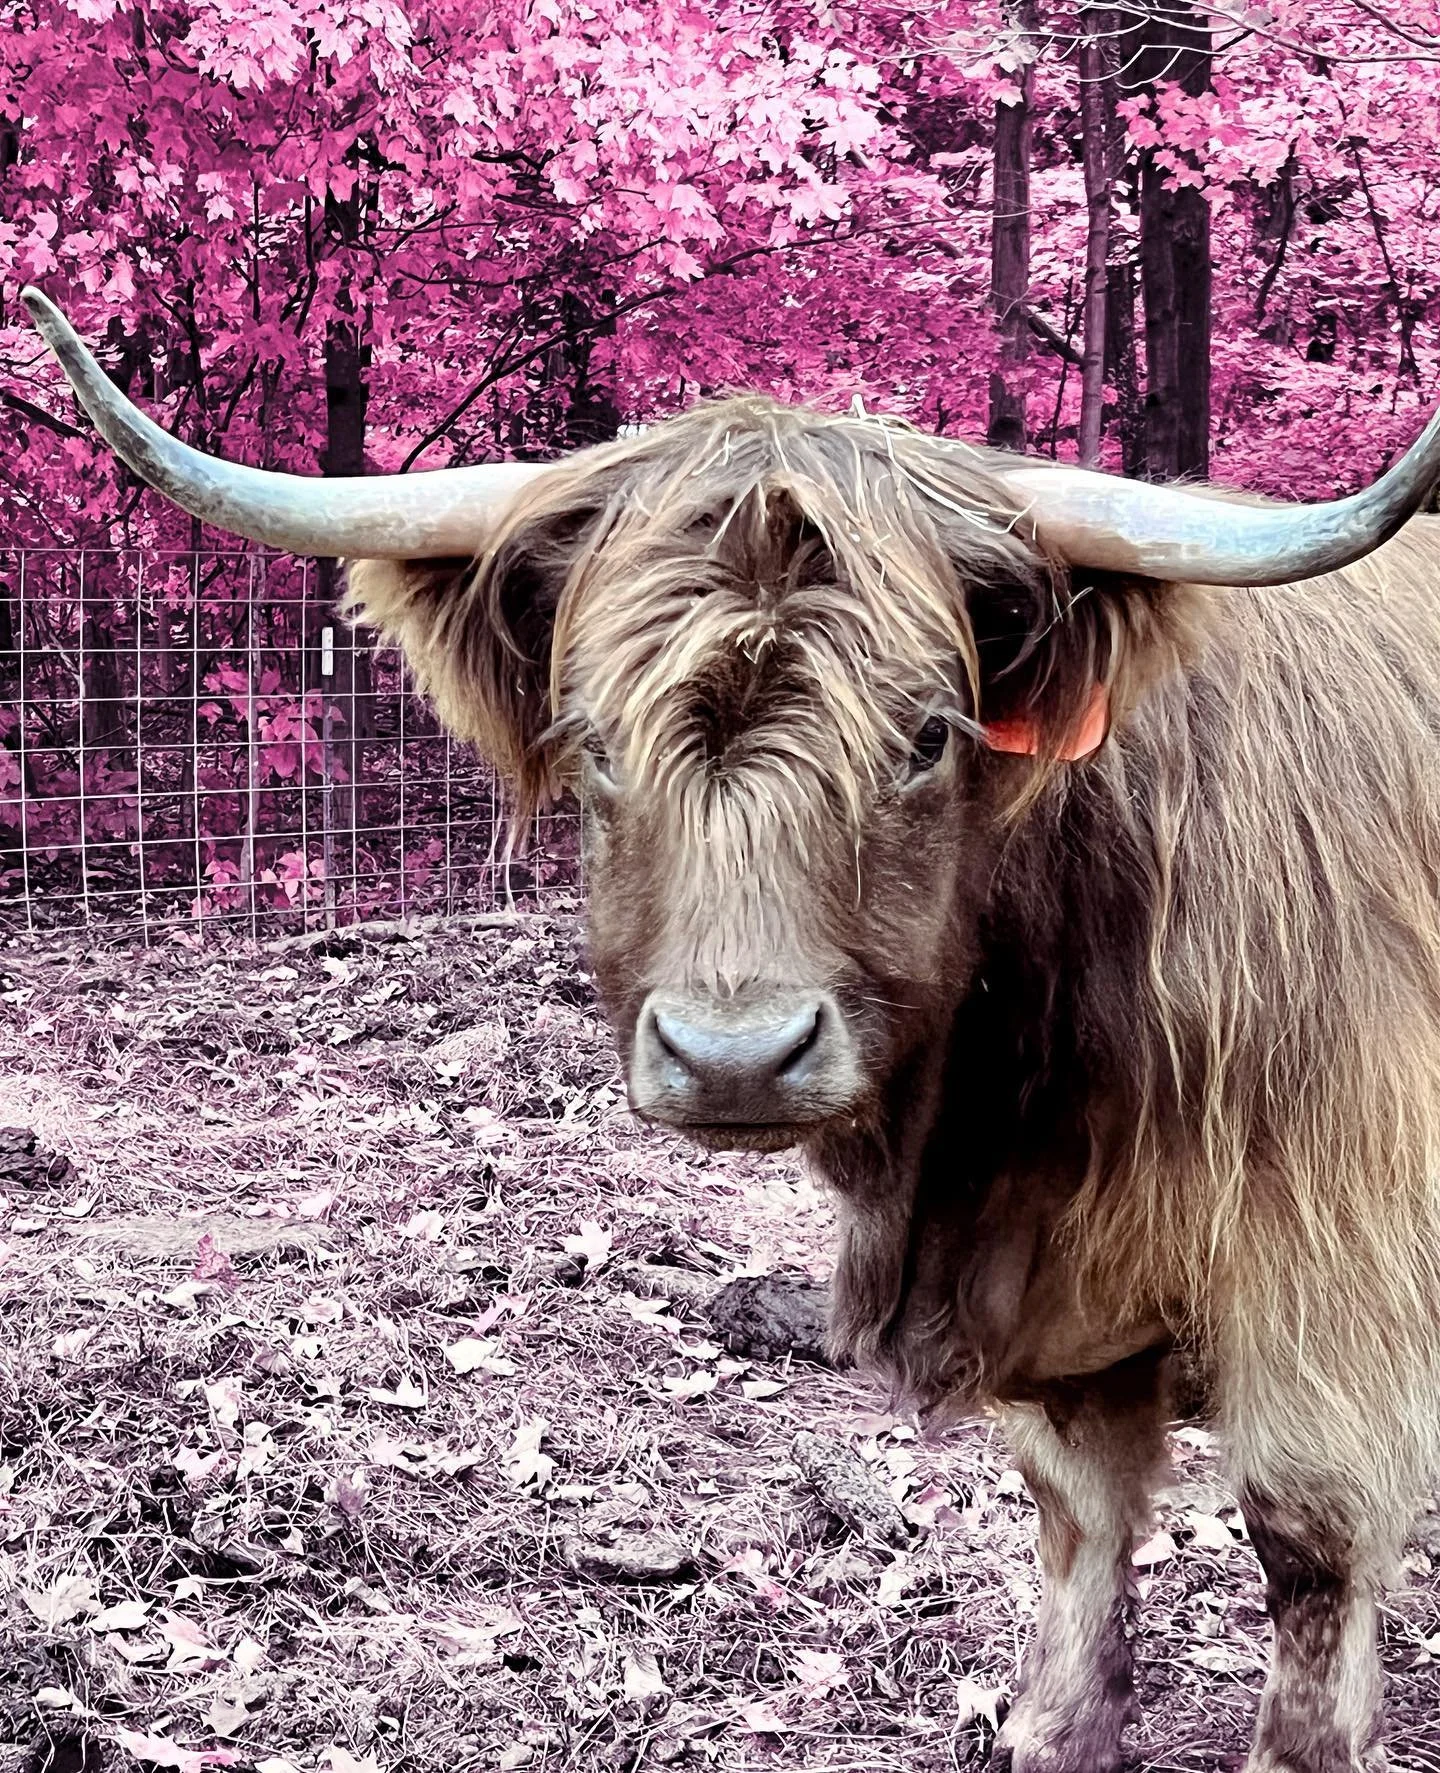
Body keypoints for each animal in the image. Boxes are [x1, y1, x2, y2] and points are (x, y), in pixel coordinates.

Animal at [26, 283, 1440, 1773]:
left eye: (928, 736)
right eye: (595, 739)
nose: (735, 1057)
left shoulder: (1341, 1258)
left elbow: (1308, 1530)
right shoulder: (1051, 1286)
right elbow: (1079, 1511)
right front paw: (1051, 1730)